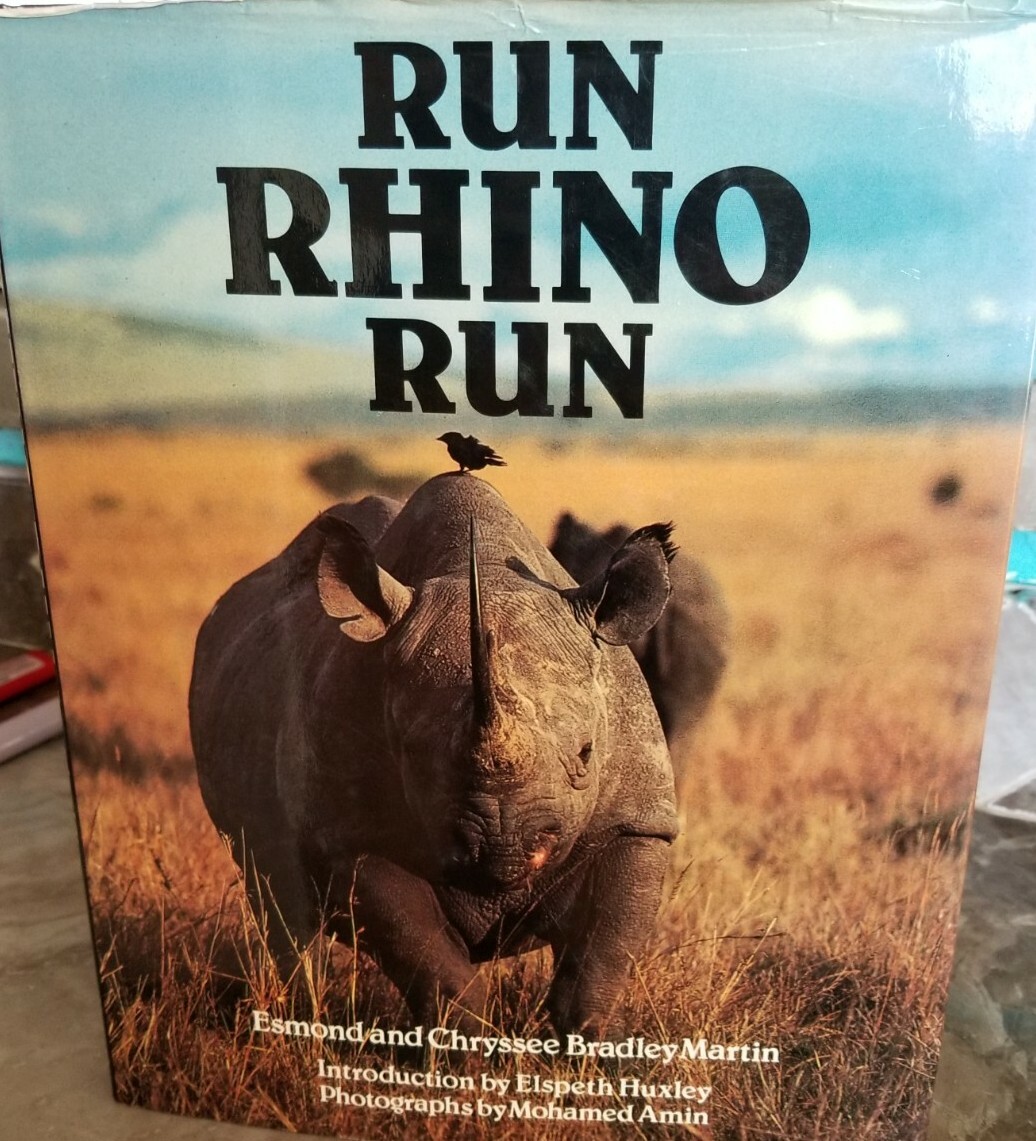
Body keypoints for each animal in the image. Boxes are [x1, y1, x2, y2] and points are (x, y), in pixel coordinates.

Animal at [189, 473, 678, 1036]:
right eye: (412, 754)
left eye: (587, 752)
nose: (506, 846)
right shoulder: (347, 835)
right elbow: (429, 959)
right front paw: (457, 1050)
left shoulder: (636, 822)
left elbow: (598, 965)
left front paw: (592, 1048)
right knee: (282, 907)